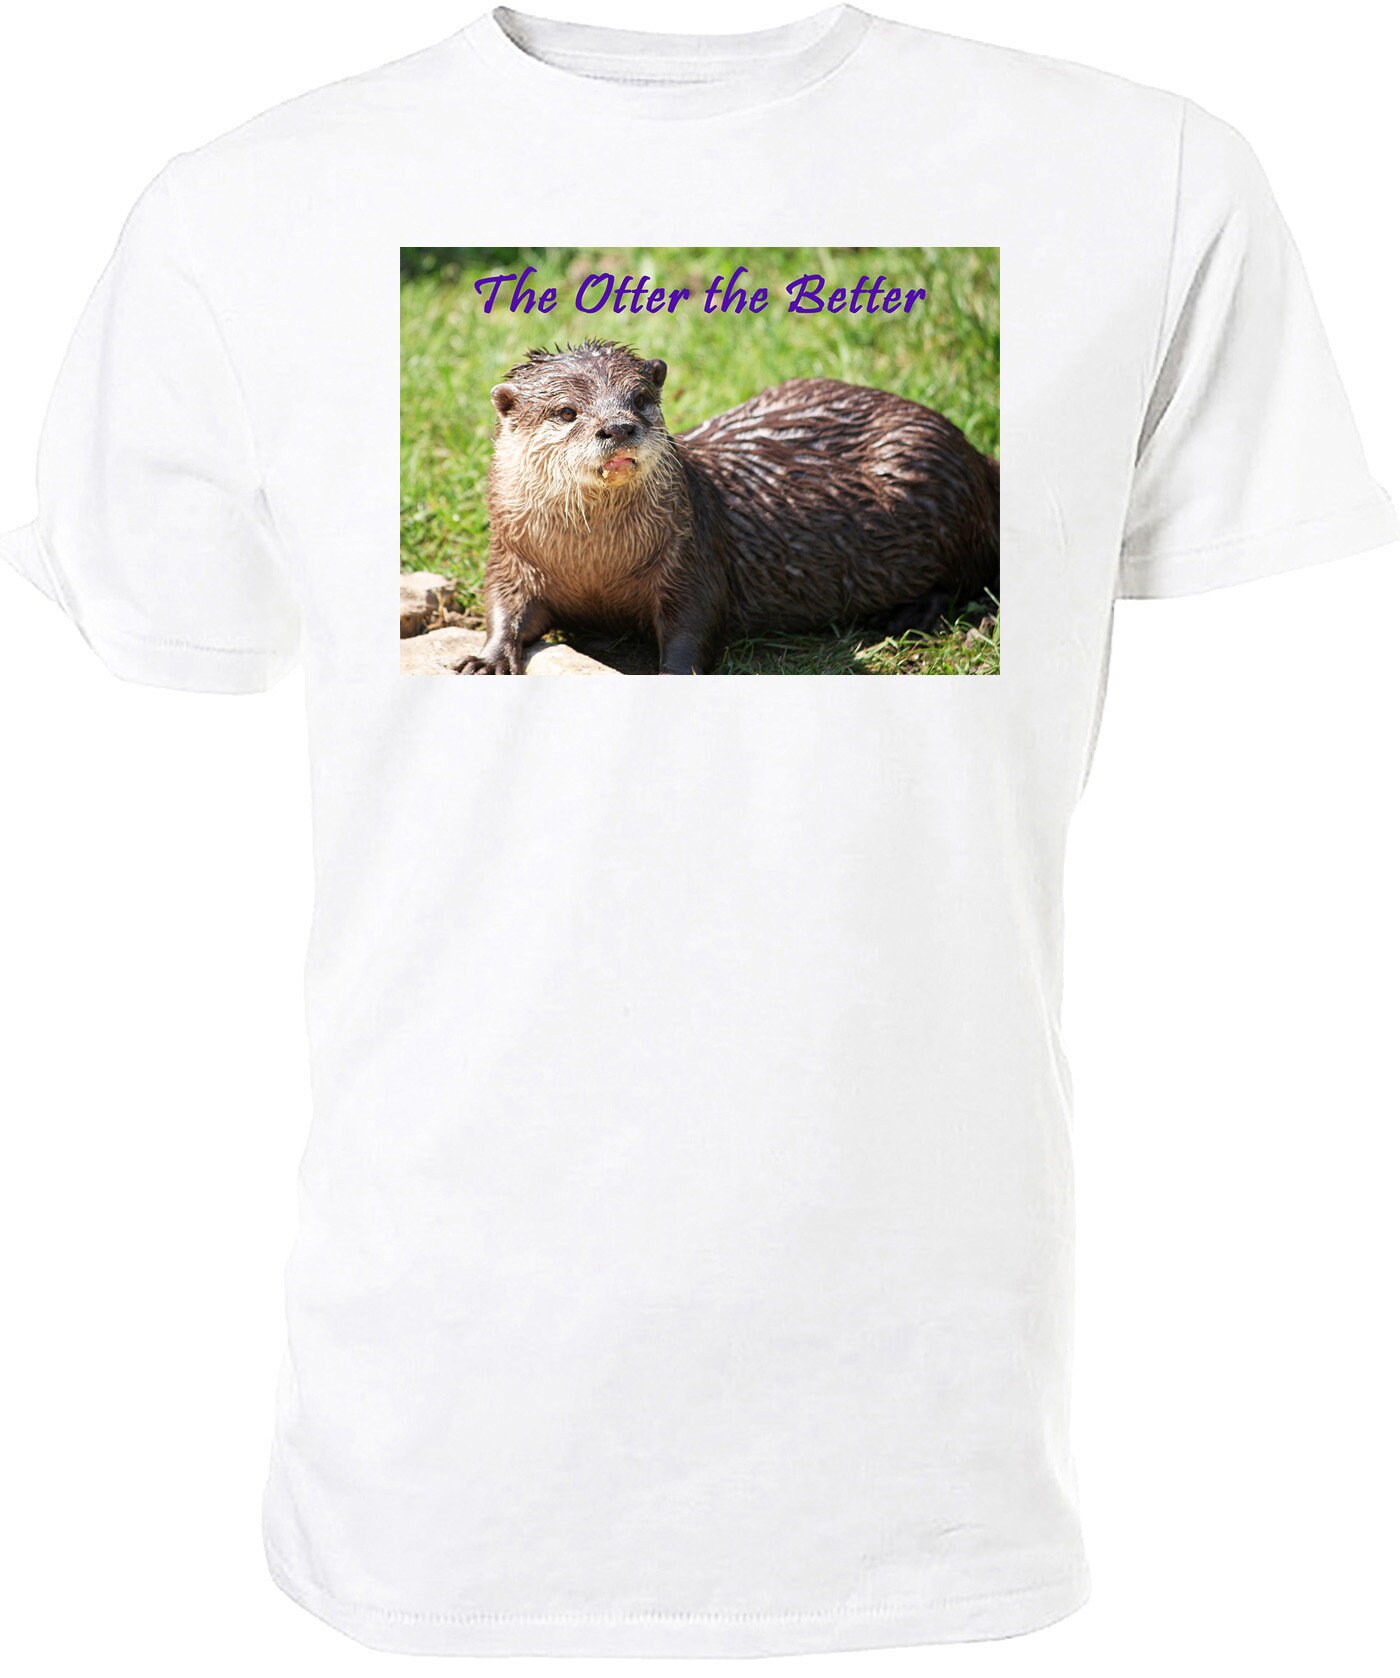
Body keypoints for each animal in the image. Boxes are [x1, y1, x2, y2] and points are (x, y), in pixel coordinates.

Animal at [455, 340, 999, 675]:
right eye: (566, 411)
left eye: (640, 399)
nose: (618, 427)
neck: (594, 561)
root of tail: (975, 455)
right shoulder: (511, 553)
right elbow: (504, 604)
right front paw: (486, 657)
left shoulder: (692, 554)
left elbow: (694, 621)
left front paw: (675, 673)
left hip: (930, 476)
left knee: (967, 574)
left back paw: (908, 615)